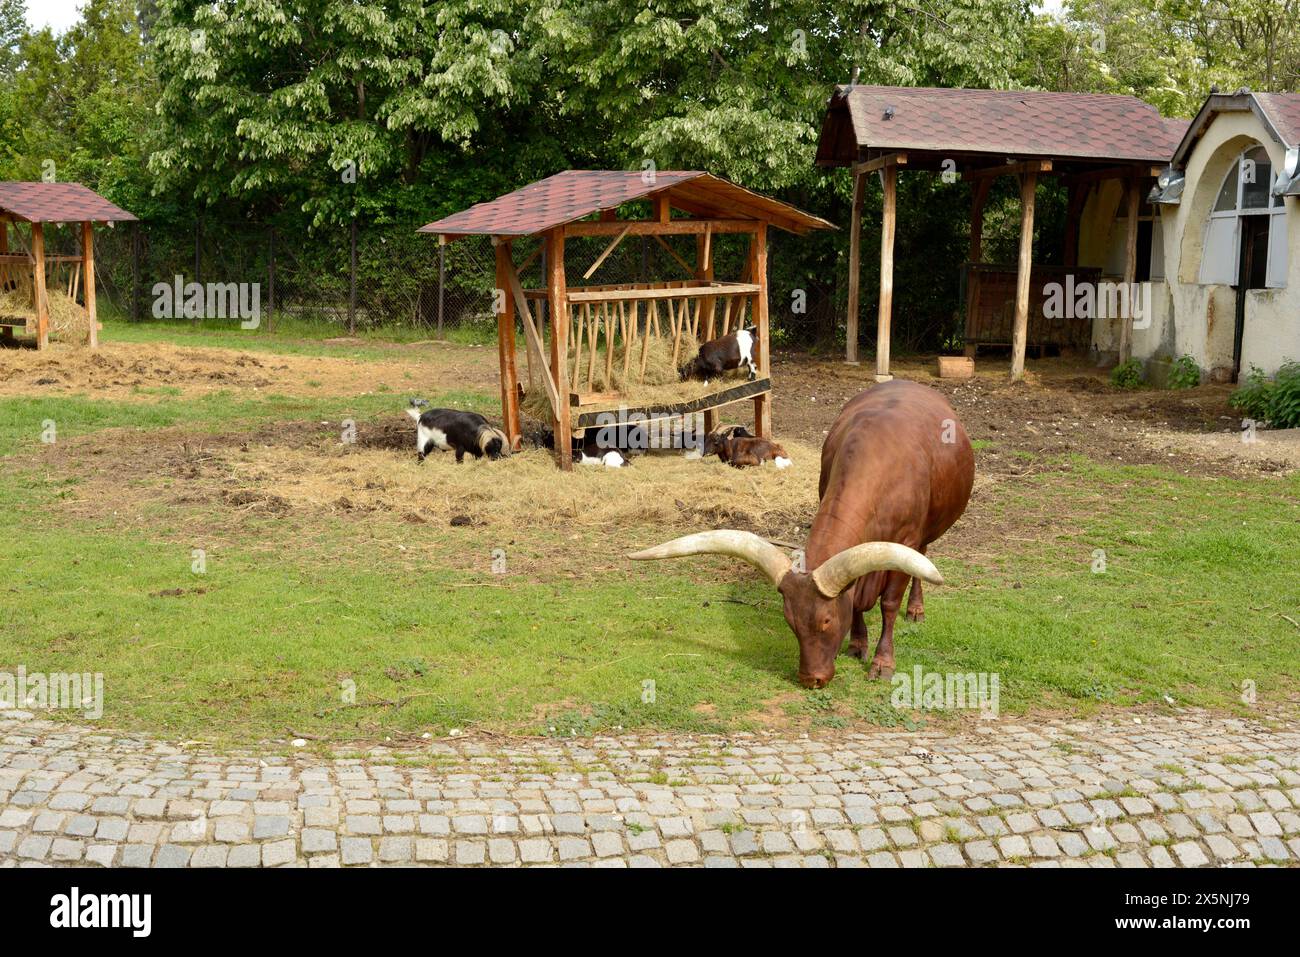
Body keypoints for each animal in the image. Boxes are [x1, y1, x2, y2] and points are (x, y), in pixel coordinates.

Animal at [630, 380, 973, 688]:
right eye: (790, 622)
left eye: (827, 621)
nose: (812, 679)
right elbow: (856, 603)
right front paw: (857, 644)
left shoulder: (906, 541)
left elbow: (889, 604)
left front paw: (882, 662)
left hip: (929, 532)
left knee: (922, 559)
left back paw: (916, 608)